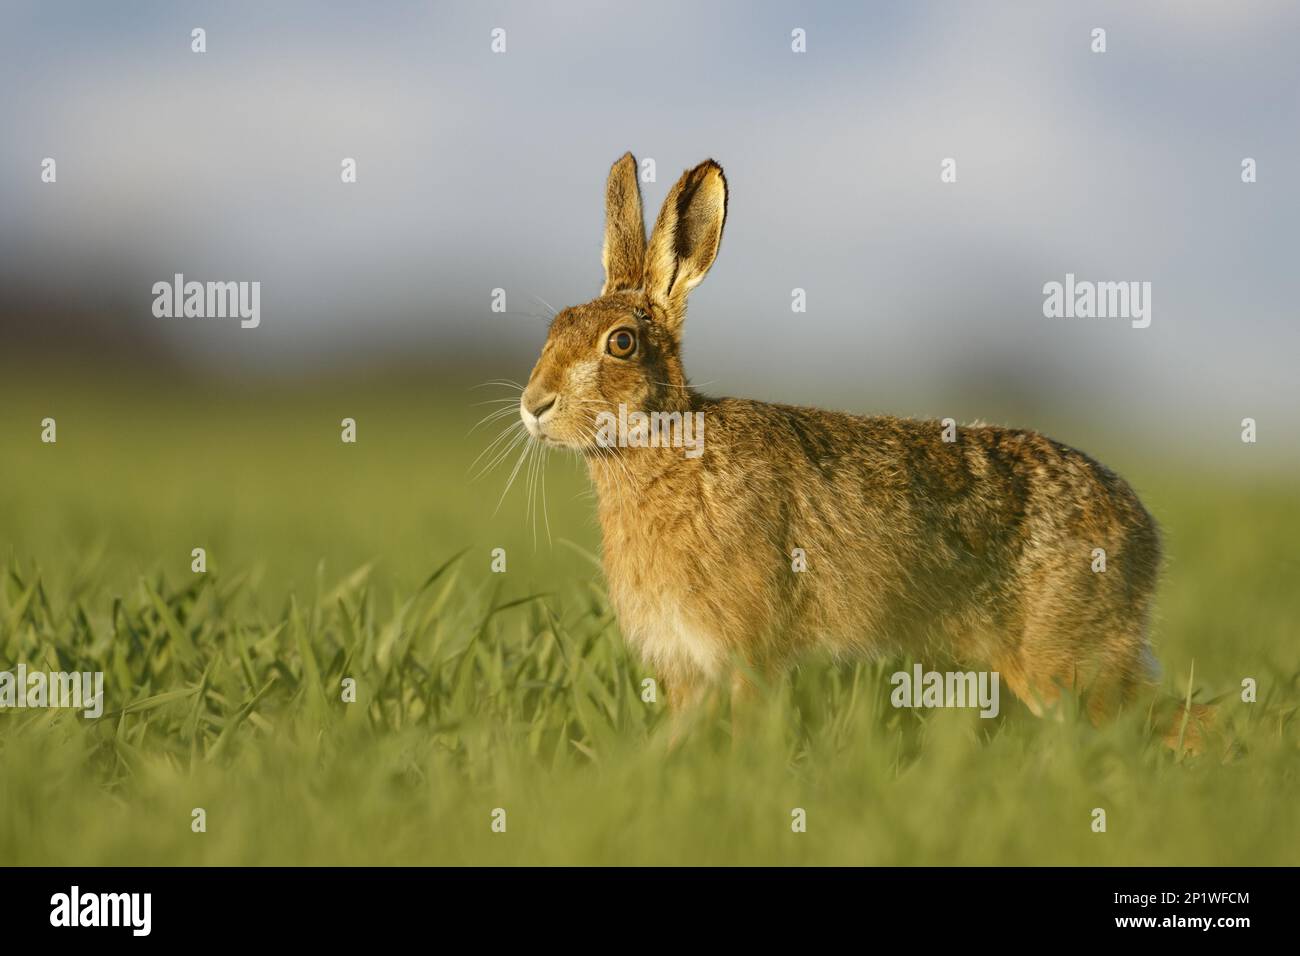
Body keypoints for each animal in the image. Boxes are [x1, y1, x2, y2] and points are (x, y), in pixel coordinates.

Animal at [520, 152, 1206, 744]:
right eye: (554, 327)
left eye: (622, 343)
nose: (534, 405)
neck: (664, 442)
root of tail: (1143, 529)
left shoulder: (745, 650)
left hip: (1063, 655)